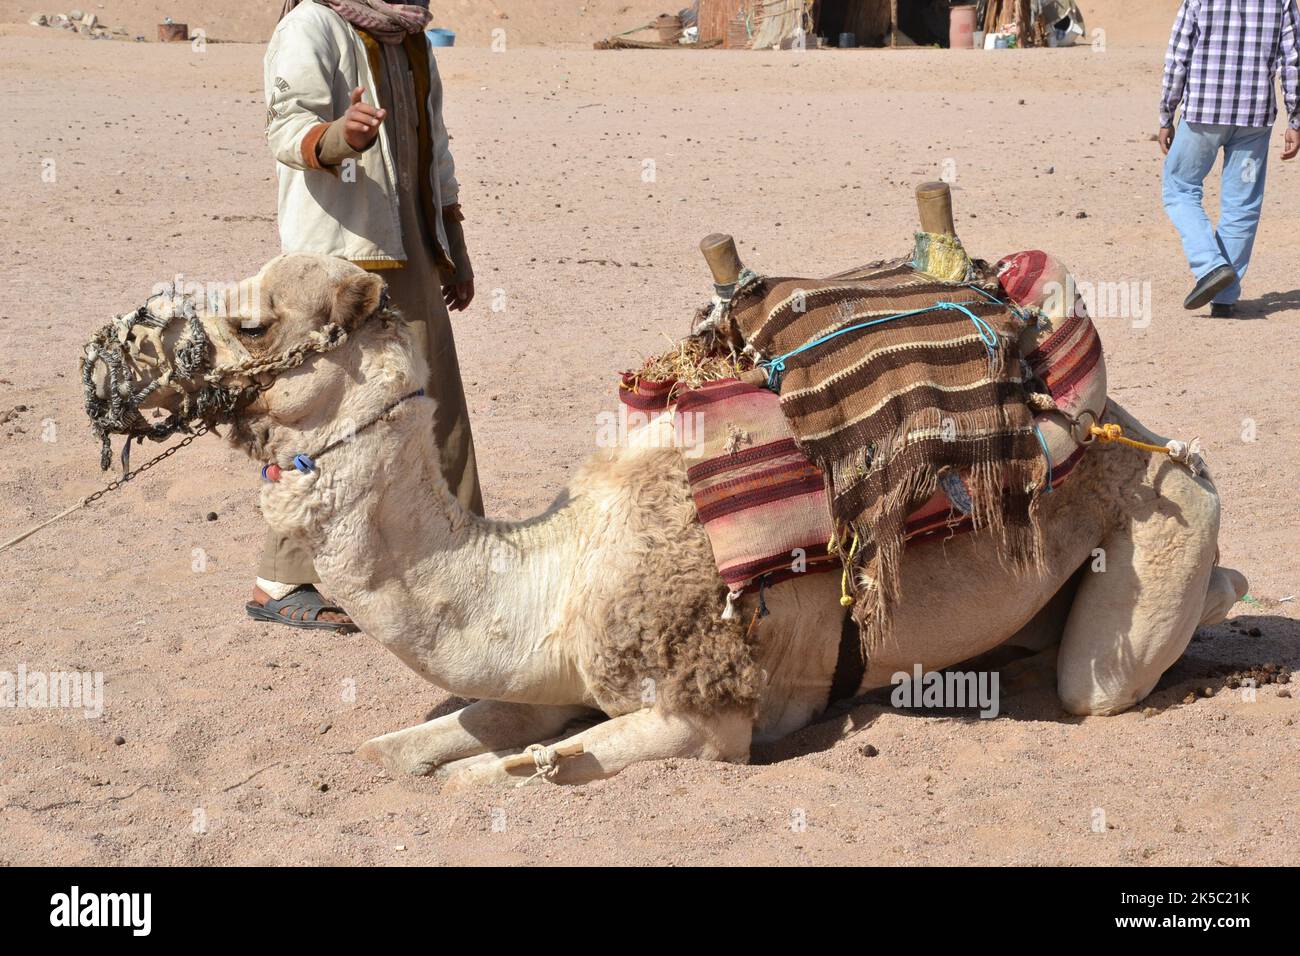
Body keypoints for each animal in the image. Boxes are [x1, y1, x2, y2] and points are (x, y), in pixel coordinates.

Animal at [83, 251, 1247, 789]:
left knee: (1110, 666)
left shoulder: (708, 713)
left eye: (251, 321)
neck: (557, 570)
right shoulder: (546, 672)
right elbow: (407, 751)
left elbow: (513, 773)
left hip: (1161, 519)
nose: (110, 352)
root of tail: (1150, 434)